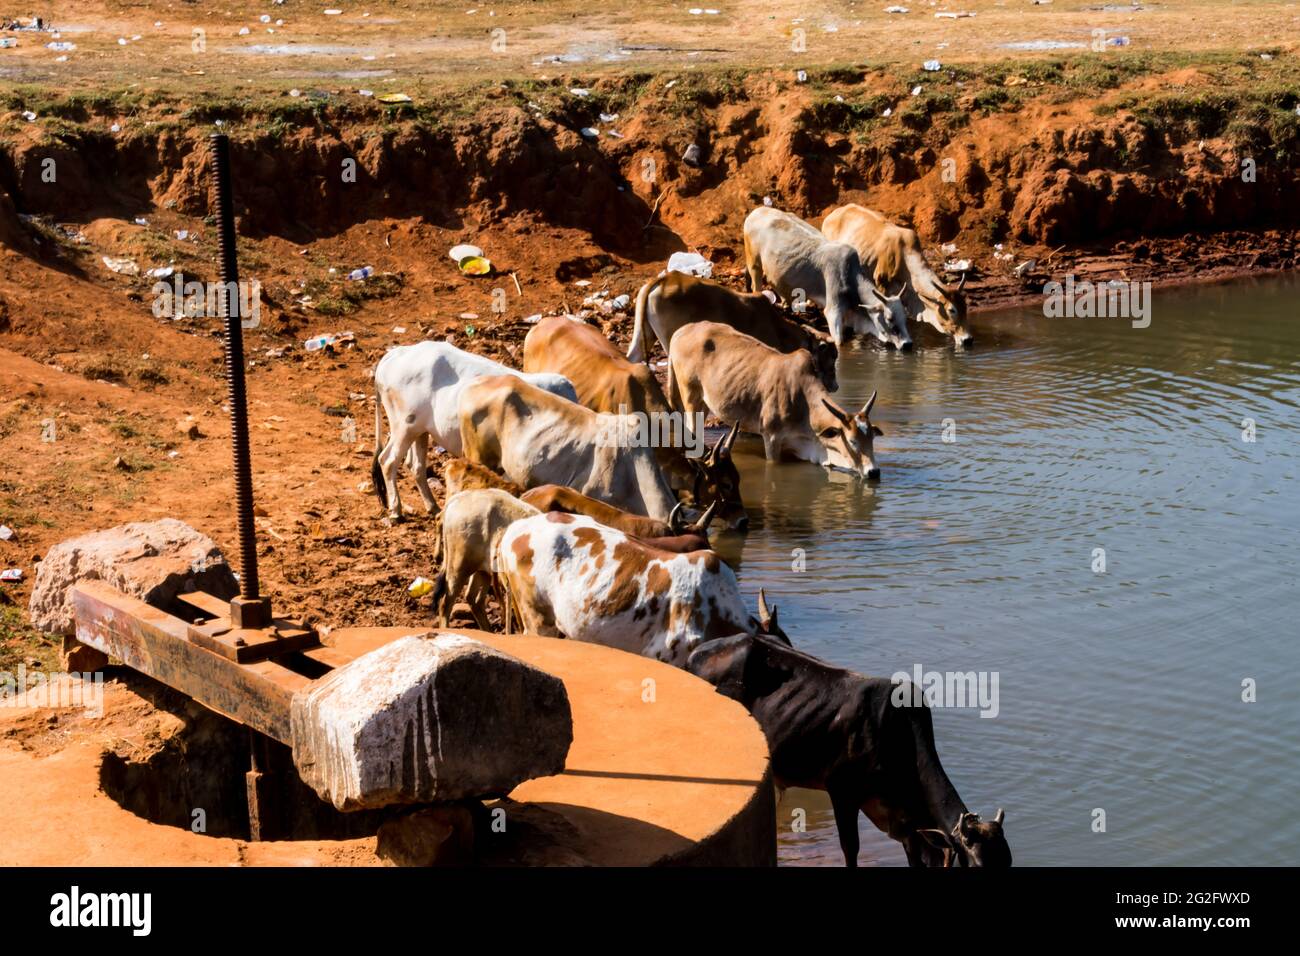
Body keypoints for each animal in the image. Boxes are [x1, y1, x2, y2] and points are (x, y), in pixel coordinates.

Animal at [371, 341, 578, 521]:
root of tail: (395, 354)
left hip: (420, 431)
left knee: (416, 466)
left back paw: (432, 506)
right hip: (404, 426)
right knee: (388, 461)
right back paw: (396, 510)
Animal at [668, 322, 884, 480]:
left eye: (872, 438)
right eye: (853, 441)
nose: (874, 472)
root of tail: (683, 330)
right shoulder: (771, 437)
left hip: (704, 403)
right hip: (691, 398)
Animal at [686, 632, 1012, 868]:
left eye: (1007, 862)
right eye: (977, 865)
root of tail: (698, 652)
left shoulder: (906, 824)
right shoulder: (842, 792)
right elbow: (850, 850)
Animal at [742, 206, 911, 350]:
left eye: (904, 315)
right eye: (889, 318)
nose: (907, 344)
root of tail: (757, 211)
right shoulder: (833, 311)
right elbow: (839, 342)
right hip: (754, 263)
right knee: (756, 285)